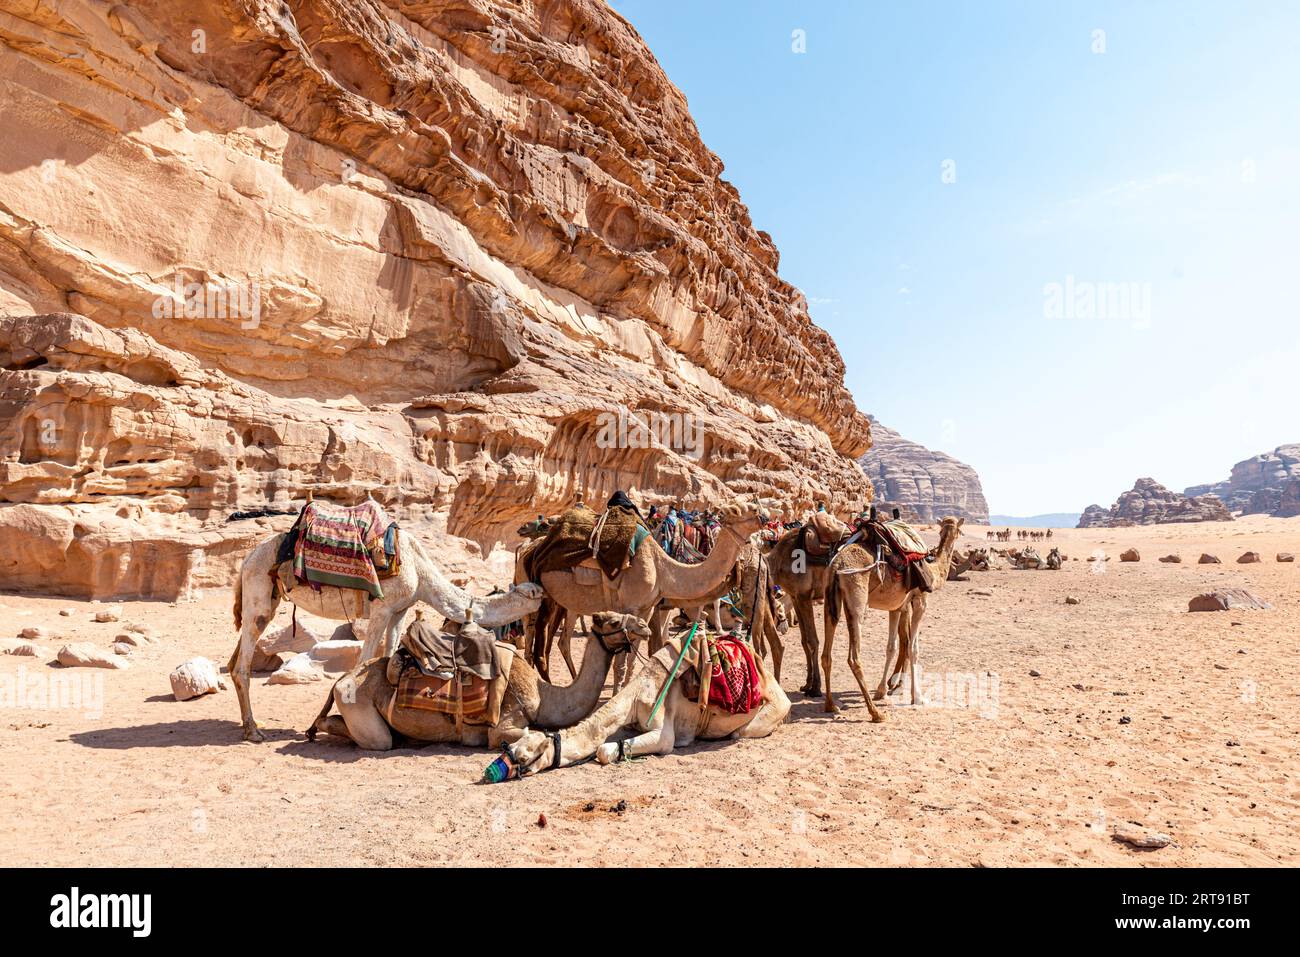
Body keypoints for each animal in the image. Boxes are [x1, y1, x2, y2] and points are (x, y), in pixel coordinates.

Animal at [229, 525, 543, 742]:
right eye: (532, 592)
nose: (542, 592)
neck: (421, 573)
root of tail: (246, 559)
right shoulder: (382, 608)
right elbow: (363, 660)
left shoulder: (400, 610)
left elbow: (389, 653)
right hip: (258, 589)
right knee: (243, 663)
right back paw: (253, 731)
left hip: (267, 597)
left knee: (236, 658)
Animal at [307, 612, 650, 751]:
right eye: (614, 621)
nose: (644, 626)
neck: (545, 695)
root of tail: (342, 679)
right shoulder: (504, 723)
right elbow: (527, 734)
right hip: (359, 703)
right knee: (375, 738)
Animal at [498, 624, 790, 777]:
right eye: (510, 747)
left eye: (523, 757)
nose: (491, 772)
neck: (637, 695)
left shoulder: (664, 732)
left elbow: (605, 750)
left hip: (768, 712)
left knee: (740, 733)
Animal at [823, 517, 965, 713]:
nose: (953, 534)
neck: (934, 571)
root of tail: (837, 565)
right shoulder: (920, 601)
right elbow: (913, 648)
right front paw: (917, 697)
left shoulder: (896, 607)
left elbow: (891, 647)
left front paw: (882, 690)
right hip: (856, 596)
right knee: (854, 657)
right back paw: (875, 713)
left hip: (830, 599)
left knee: (826, 653)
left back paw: (831, 705)